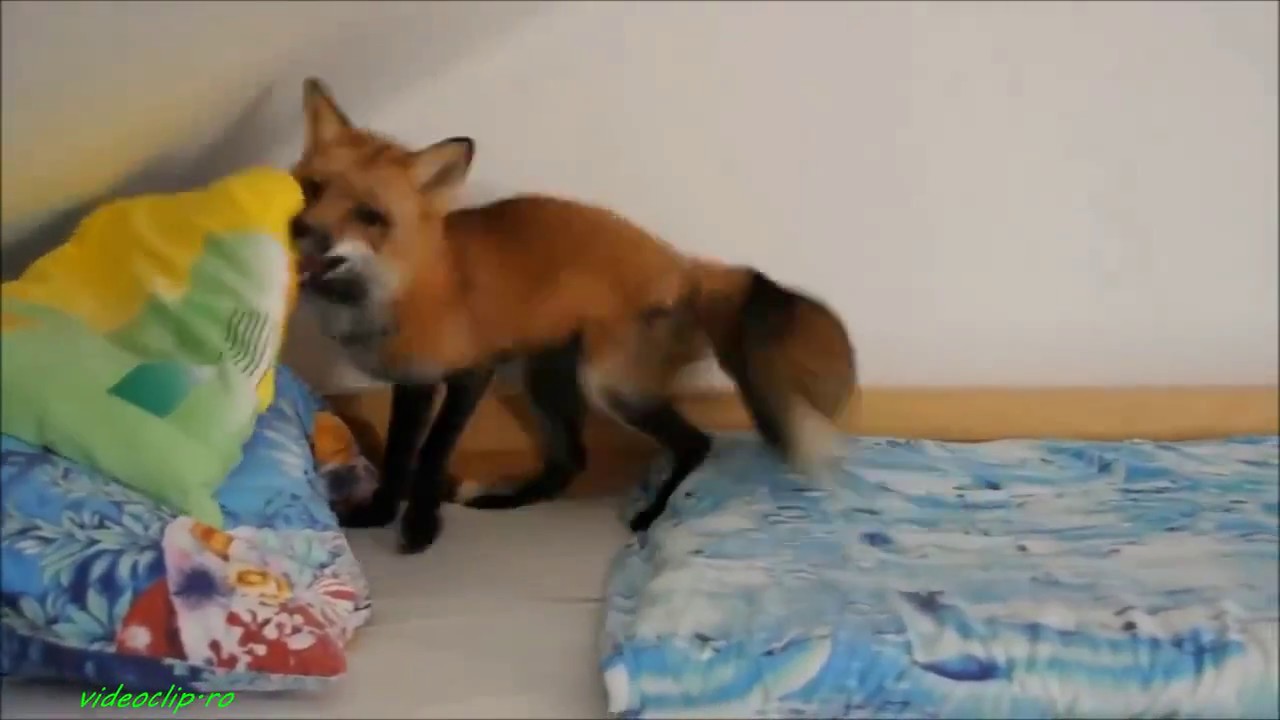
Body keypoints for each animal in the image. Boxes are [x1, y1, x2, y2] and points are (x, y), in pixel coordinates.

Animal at [289, 78, 858, 554]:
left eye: (369, 216)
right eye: (312, 189)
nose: (300, 229)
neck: (395, 292)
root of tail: (682, 264)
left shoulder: (470, 374)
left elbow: (429, 457)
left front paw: (421, 527)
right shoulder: (412, 383)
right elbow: (397, 457)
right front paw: (381, 512)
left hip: (607, 385)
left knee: (695, 444)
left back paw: (653, 516)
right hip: (548, 380)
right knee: (572, 460)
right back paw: (508, 500)